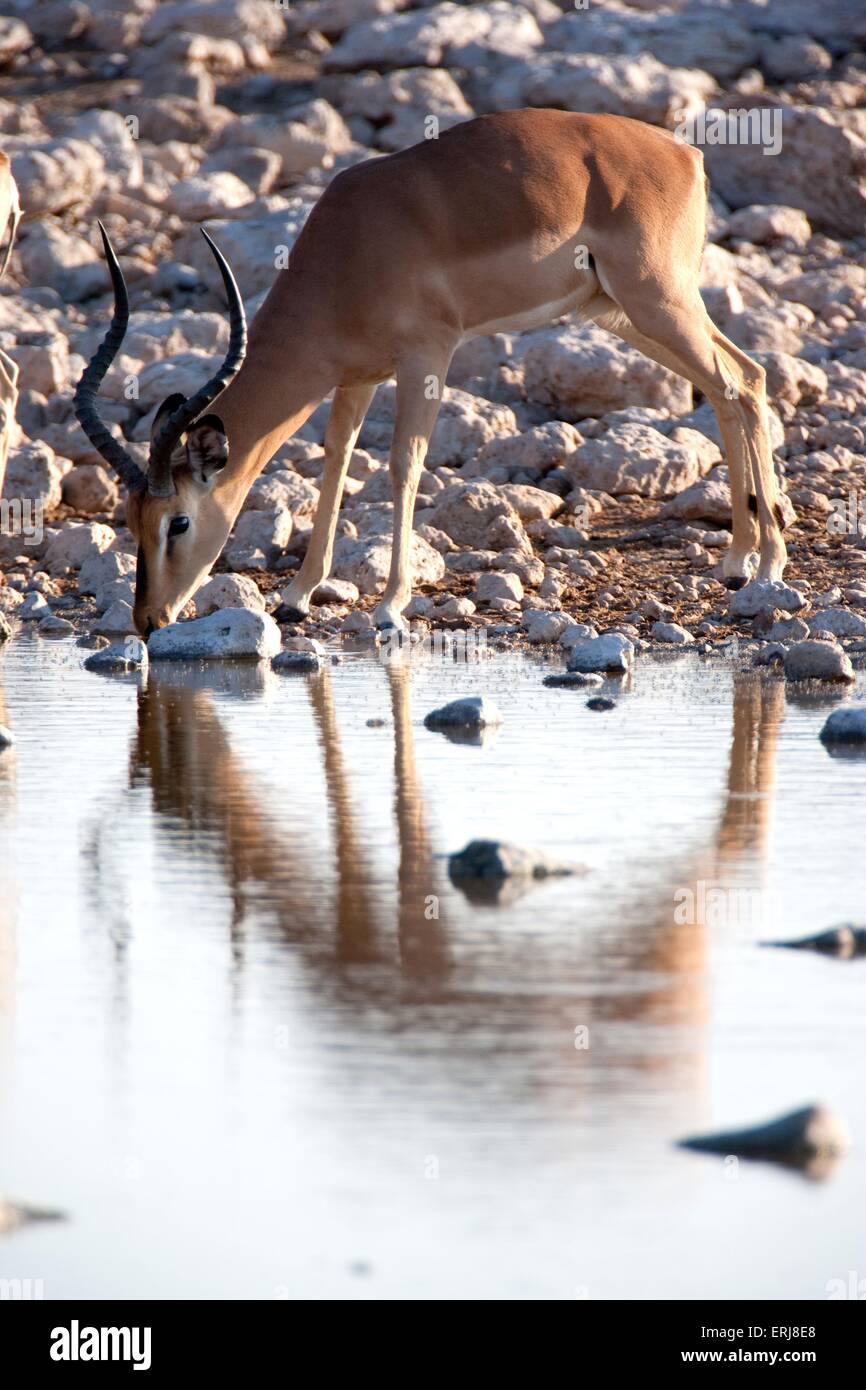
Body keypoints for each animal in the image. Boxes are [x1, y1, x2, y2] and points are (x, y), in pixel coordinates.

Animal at [74, 109, 789, 638]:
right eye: (129, 521)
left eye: (178, 522)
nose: (148, 620)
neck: (349, 248)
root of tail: (685, 155)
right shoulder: (355, 376)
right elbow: (335, 460)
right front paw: (298, 596)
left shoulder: (427, 354)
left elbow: (403, 463)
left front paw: (390, 605)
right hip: (623, 313)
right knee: (734, 382)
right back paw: (736, 562)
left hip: (657, 302)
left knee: (742, 383)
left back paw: (766, 571)